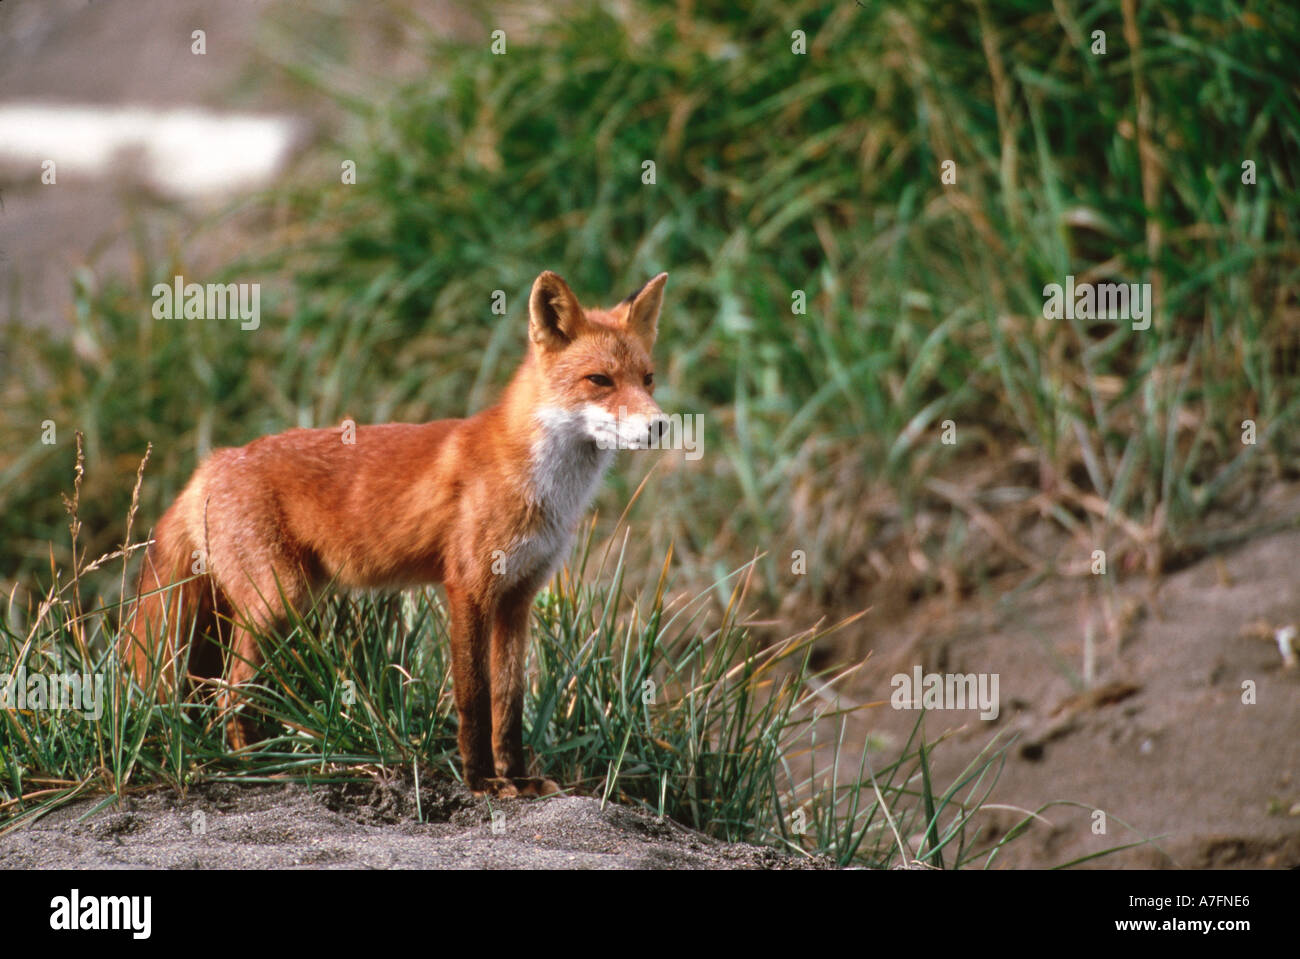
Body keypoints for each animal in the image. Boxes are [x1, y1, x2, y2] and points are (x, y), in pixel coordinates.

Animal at [121, 270, 670, 797]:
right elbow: (474, 697)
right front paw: (482, 782)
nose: (662, 425)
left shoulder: (517, 597)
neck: (544, 487)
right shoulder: (468, 588)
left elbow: (508, 704)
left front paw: (518, 778)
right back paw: (251, 769)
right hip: (277, 600)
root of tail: (210, 464)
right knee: (227, 692)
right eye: (599, 380)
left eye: (648, 380)